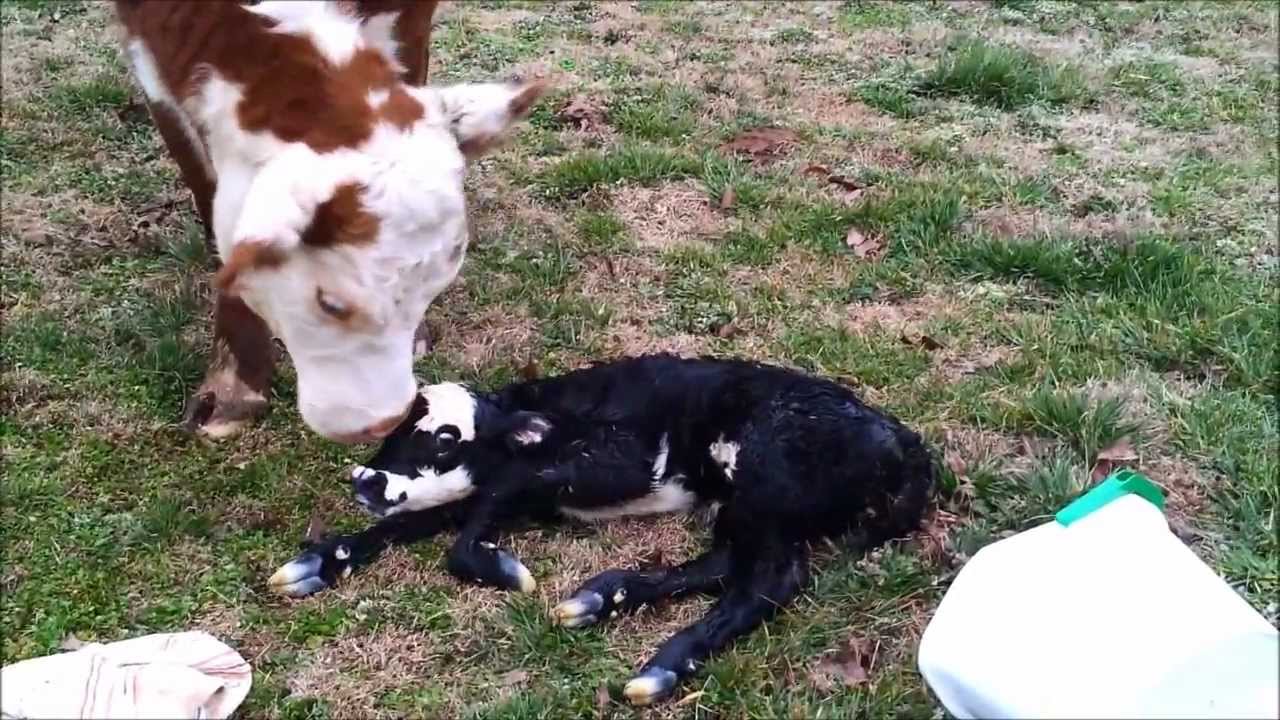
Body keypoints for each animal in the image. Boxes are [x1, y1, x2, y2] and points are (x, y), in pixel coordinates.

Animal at [114, 0, 546, 442]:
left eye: (436, 286)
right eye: (330, 303)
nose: (384, 422)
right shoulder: (149, 50)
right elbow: (209, 199)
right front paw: (234, 386)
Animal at [269, 354, 935, 705]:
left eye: (444, 438)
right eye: (391, 431)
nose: (366, 480)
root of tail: (899, 437)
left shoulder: (598, 465)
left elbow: (464, 539)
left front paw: (506, 571)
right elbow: (411, 523)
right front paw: (316, 563)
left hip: (764, 478)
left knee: (770, 579)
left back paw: (661, 666)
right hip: (740, 503)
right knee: (728, 565)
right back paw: (604, 597)